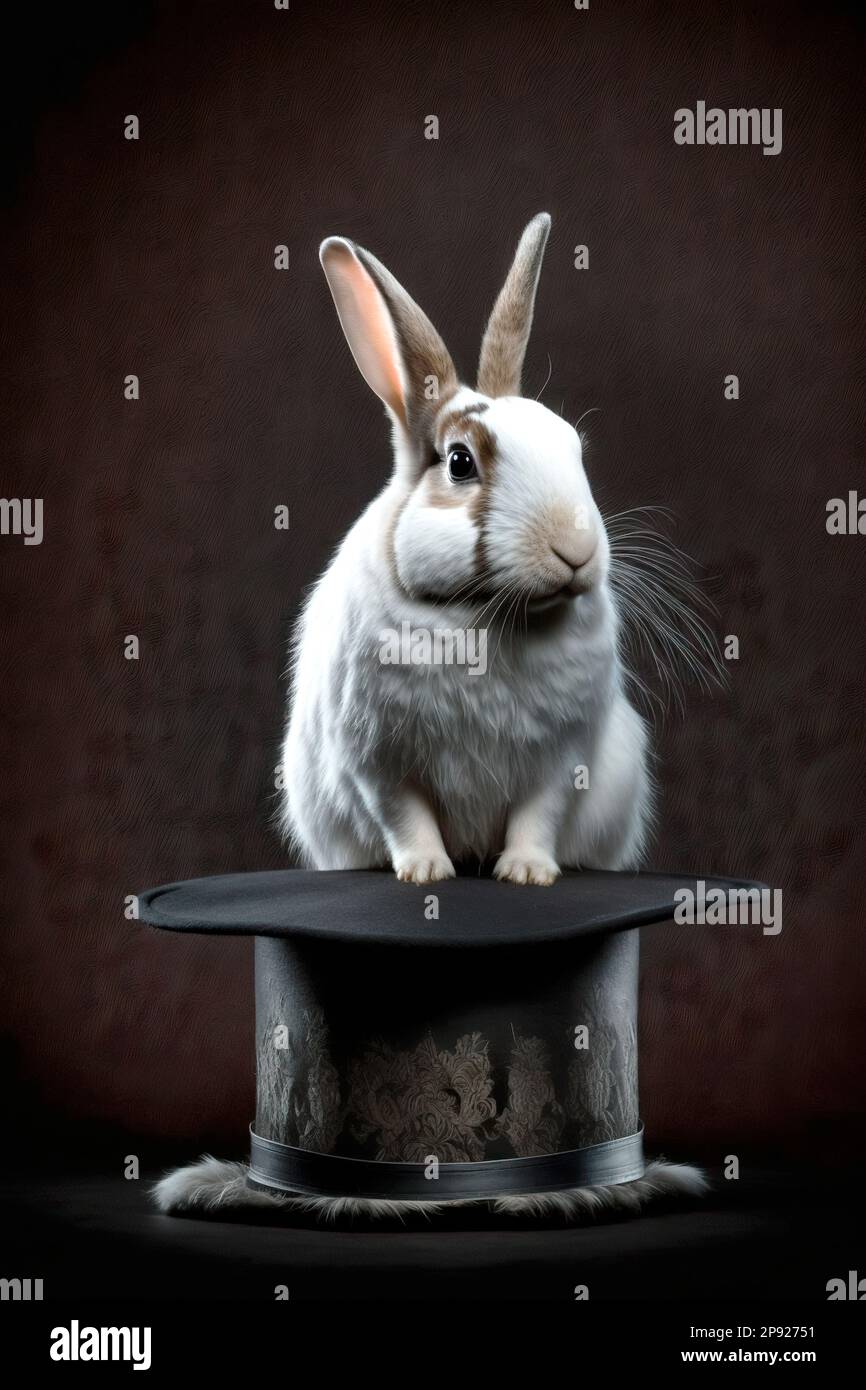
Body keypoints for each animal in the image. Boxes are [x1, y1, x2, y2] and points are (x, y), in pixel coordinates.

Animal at [279, 213, 652, 885]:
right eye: (459, 462)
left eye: (574, 444)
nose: (577, 550)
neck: (483, 614)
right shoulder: (375, 763)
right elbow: (405, 817)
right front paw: (426, 872)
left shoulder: (563, 760)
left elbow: (538, 816)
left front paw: (526, 873)